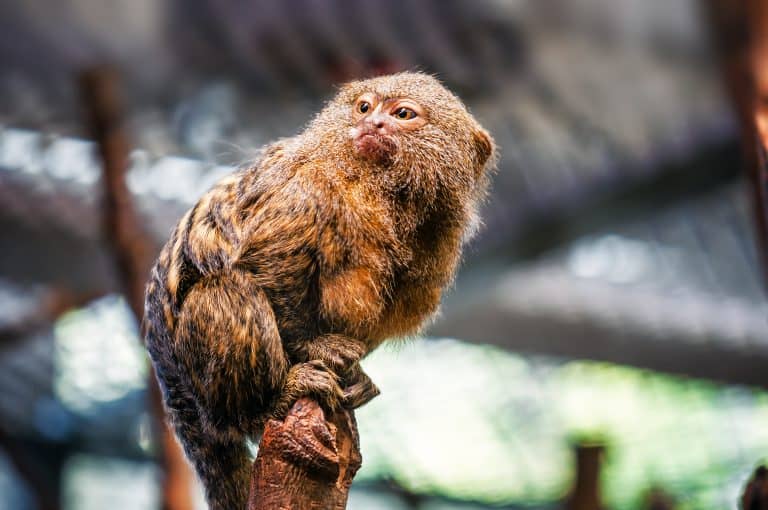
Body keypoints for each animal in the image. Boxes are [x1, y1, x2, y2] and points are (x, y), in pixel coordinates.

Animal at [143, 72, 495, 509]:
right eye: (364, 107)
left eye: (402, 114)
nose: (373, 124)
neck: (380, 191)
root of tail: (163, 368)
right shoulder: (306, 189)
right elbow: (262, 265)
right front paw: (317, 348)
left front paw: (356, 372)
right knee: (225, 290)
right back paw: (270, 402)